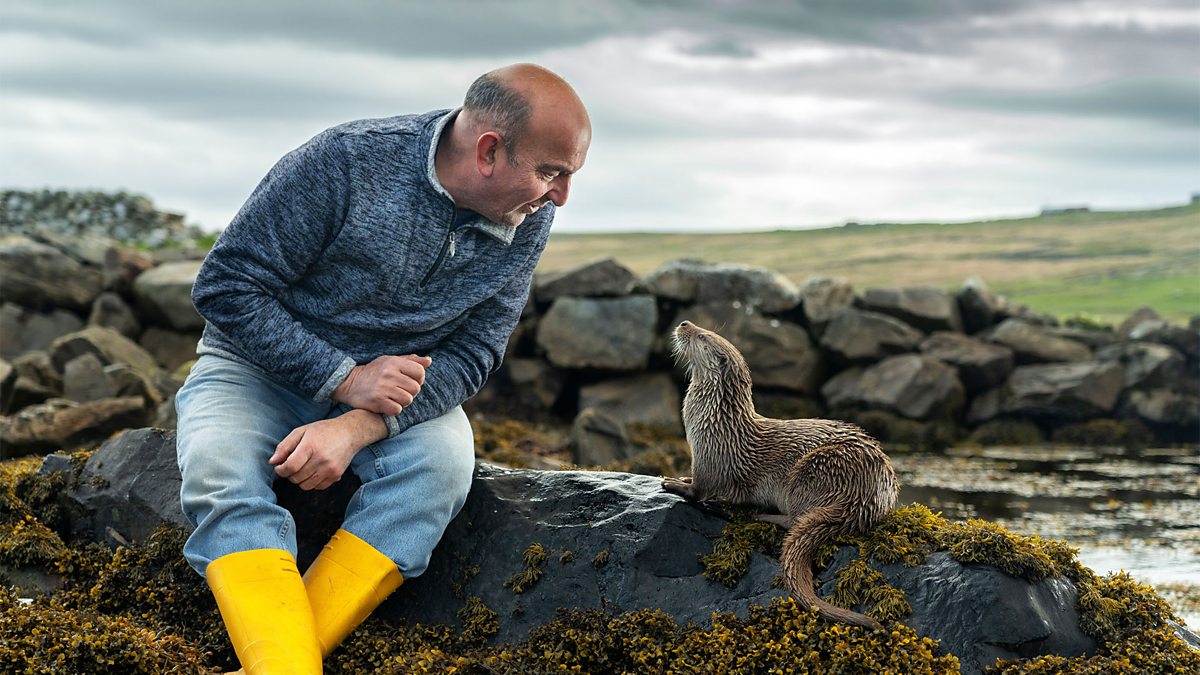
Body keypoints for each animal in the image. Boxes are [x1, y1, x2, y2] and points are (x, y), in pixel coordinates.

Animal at [663, 320, 900, 630]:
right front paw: (680, 477)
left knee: (795, 518)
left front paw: (674, 483)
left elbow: (700, 491)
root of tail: (868, 498)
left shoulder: (710, 458)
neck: (716, 420)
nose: (684, 323)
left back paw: (763, 515)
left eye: (703, 336)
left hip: (812, 472)